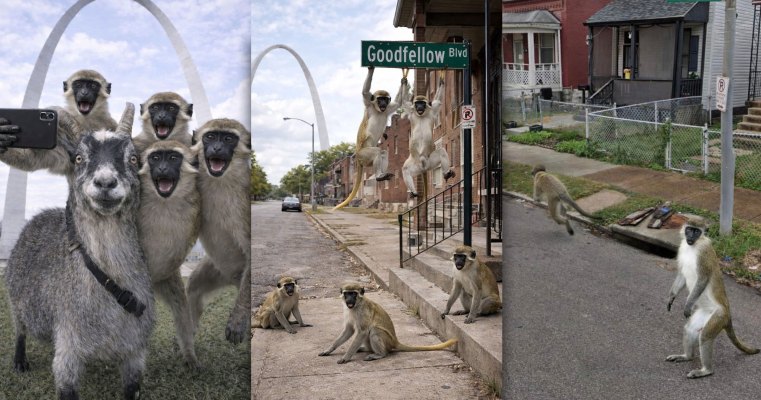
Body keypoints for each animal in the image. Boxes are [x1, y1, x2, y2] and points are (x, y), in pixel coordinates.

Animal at [137, 140, 201, 368]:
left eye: (173, 158)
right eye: (156, 158)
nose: (163, 169)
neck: (164, 202)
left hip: (165, 279)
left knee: (180, 305)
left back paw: (189, 353)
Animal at [187, 118, 251, 344]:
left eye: (228, 139)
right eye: (211, 136)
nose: (216, 148)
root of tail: (233, 279)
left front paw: (237, 320)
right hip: (220, 270)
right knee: (194, 289)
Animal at [319, 282, 458, 364]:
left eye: (353, 293)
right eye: (347, 293)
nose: (349, 299)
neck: (357, 305)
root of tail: (395, 341)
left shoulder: (362, 312)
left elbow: (362, 331)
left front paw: (346, 357)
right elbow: (349, 330)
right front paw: (329, 349)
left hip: (387, 341)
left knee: (374, 330)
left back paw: (380, 354)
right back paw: (367, 349)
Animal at [333, 66, 405, 210]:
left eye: (385, 99)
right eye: (379, 99)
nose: (383, 102)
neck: (379, 110)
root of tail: (358, 157)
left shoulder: (388, 109)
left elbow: (398, 102)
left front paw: (403, 80)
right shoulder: (369, 104)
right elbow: (365, 92)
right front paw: (371, 69)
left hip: (365, 159)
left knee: (383, 152)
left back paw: (383, 174)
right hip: (363, 155)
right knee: (377, 152)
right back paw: (379, 176)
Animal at [666, 218, 759, 378]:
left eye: (696, 231)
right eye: (689, 229)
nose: (690, 236)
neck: (693, 247)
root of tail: (728, 314)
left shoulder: (704, 253)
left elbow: (703, 279)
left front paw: (688, 304)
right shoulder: (682, 248)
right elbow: (682, 275)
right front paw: (672, 296)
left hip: (719, 316)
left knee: (705, 336)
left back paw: (706, 370)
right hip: (705, 314)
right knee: (689, 329)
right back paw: (687, 357)